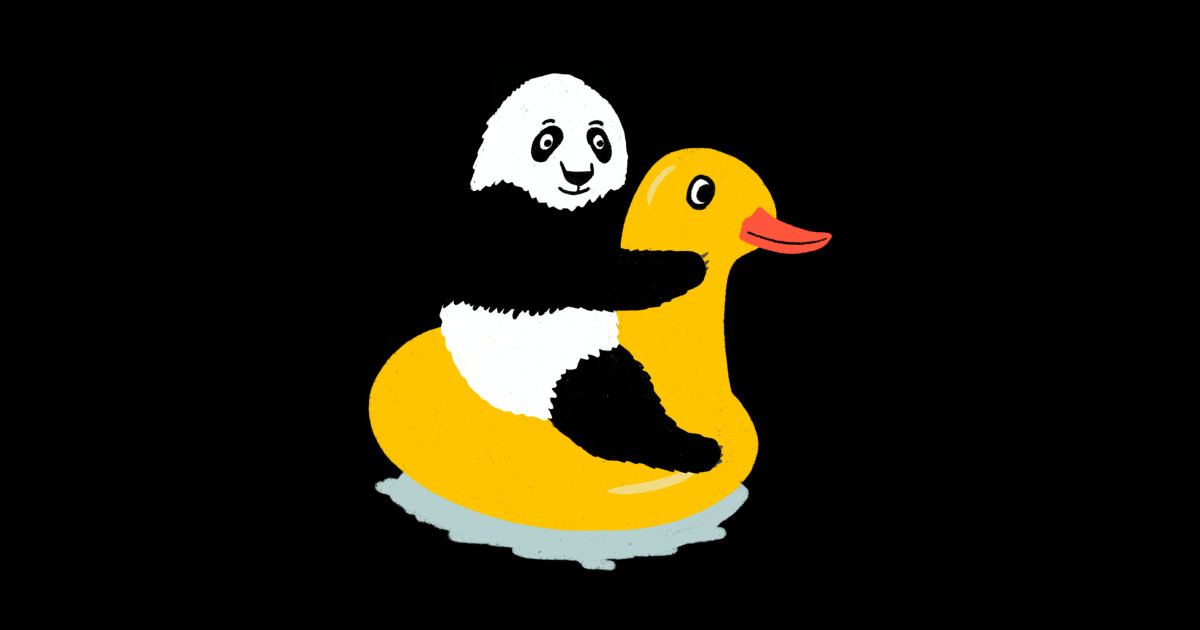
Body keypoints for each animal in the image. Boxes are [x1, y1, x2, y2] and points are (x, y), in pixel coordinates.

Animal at [439, 73, 721, 474]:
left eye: (599, 142)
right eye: (547, 140)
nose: (578, 175)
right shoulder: (511, 227)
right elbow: (593, 275)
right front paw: (691, 264)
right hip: (557, 365)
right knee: (612, 407)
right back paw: (693, 450)